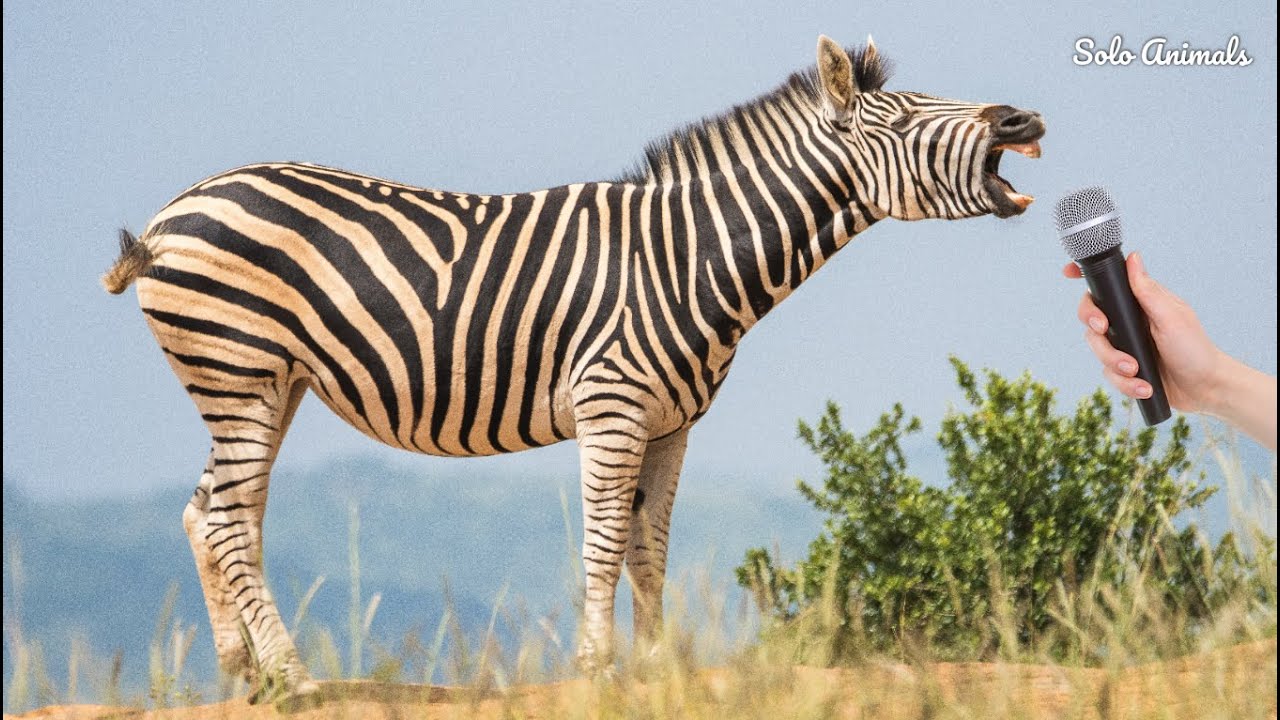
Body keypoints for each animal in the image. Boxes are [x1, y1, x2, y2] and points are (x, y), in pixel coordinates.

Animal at [102, 34, 1043, 701]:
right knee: (229, 519)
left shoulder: (672, 424)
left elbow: (648, 547)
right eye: (906, 119)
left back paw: (245, 673)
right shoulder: (612, 406)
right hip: (239, 367)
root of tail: (172, 212)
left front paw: (658, 668)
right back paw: (296, 680)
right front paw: (597, 666)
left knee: (210, 512)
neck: (688, 257)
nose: (1023, 122)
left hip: (267, 380)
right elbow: (601, 542)